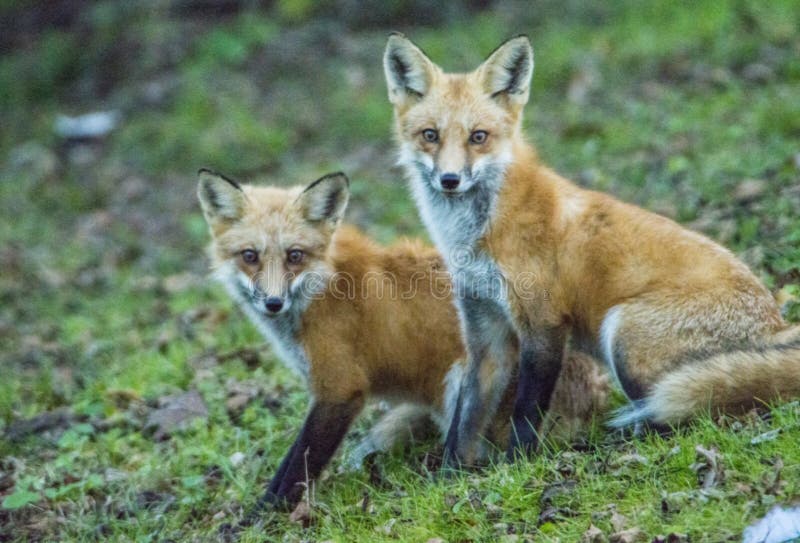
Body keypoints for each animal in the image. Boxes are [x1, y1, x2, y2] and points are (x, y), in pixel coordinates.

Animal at [197, 168, 609, 510]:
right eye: (249, 256)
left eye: (294, 255)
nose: (273, 302)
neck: (321, 288)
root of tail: (596, 392)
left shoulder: (340, 389)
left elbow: (295, 467)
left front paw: (262, 518)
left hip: (466, 377)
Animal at [383, 33, 800, 464]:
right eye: (430, 135)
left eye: (478, 137)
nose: (450, 179)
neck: (477, 232)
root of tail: (775, 324)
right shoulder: (485, 329)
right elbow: (465, 418)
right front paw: (451, 474)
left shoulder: (544, 323)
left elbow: (526, 409)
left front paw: (519, 464)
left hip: (623, 334)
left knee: (685, 413)